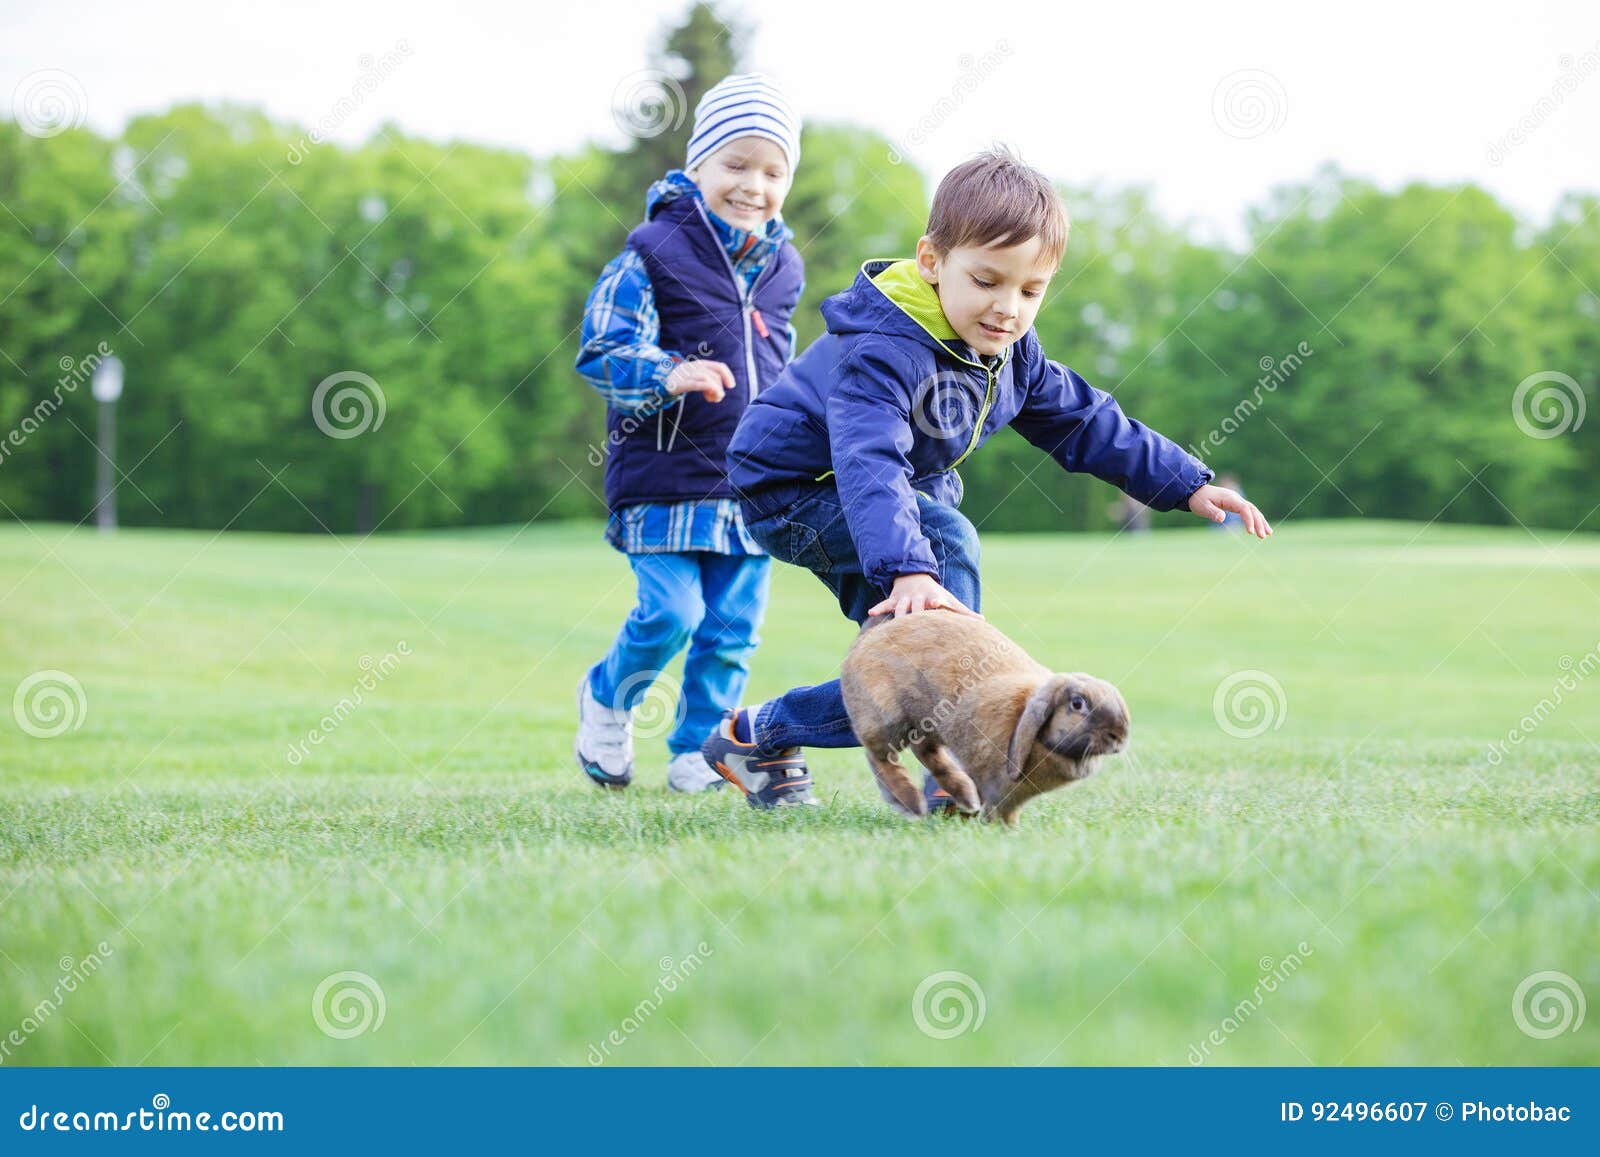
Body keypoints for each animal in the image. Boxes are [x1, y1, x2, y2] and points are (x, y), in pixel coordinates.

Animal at [839, 611, 1129, 826]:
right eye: (1078, 704)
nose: (1120, 736)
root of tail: (867, 639)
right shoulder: (1000, 790)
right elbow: (999, 812)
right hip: (887, 720)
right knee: (880, 757)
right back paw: (912, 802)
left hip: (926, 724)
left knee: (924, 752)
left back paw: (964, 795)